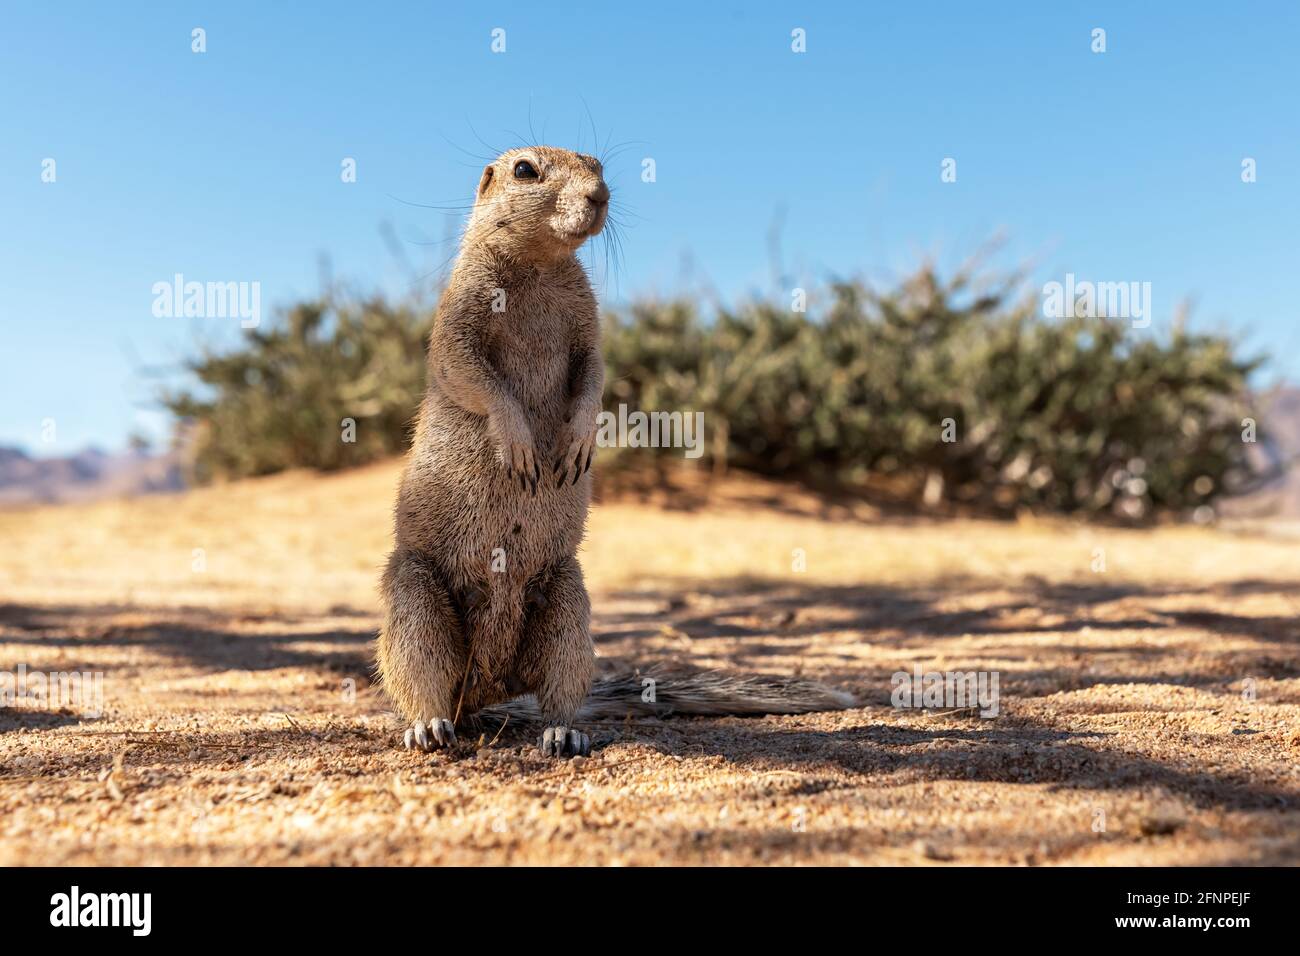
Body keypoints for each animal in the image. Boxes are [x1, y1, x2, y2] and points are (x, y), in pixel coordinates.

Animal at [375, 146, 854, 758]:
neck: (539, 264)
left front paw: (580, 440)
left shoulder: (589, 324)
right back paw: (429, 727)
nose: (599, 196)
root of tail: (484, 693)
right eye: (525, 170)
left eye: (597, 164)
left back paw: (564, 733)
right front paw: (519, 442)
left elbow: (596, 374)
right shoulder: (460, 316)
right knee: (422, 675)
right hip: (416, 596)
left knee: (560, 688)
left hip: (567, 603)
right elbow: (471, 373)